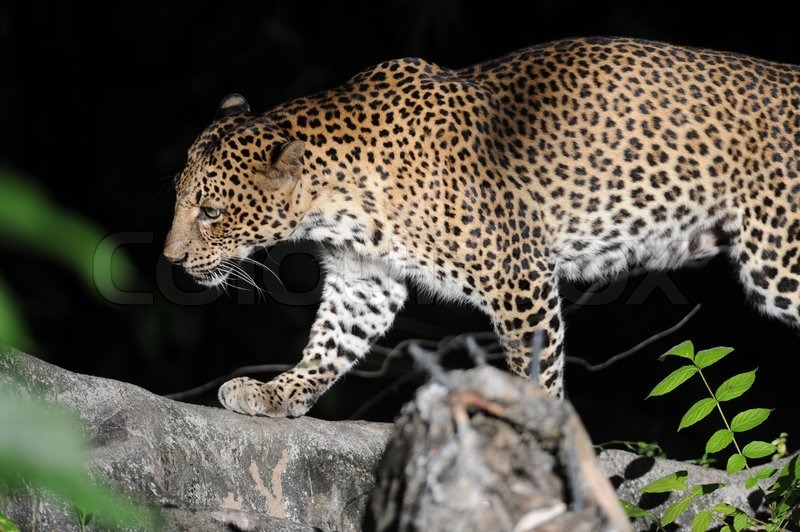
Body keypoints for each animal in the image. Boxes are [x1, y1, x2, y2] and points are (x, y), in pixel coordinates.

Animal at [164, 37, 800, 418]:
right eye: (178, 199)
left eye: (211, 212)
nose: (171, 260)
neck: (334, 202)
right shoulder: (364, 278)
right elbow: (330, 344)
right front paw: (275, 394)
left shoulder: (520, 278)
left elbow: (536, 372)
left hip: (778, 257)